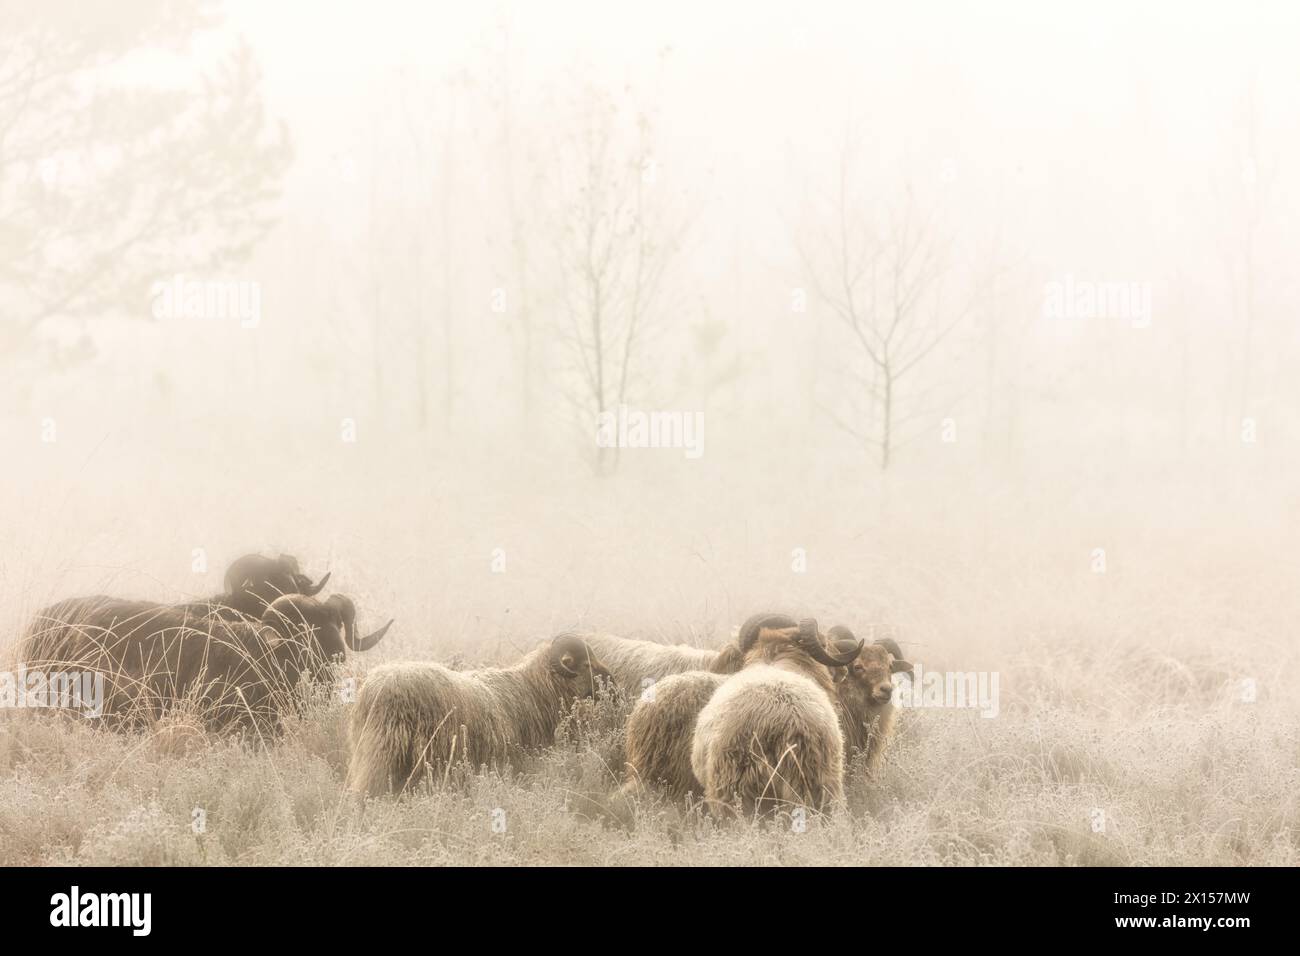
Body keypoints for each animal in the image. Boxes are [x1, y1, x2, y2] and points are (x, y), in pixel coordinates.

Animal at [690, 615, 861, 818]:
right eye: (825, 643)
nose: (844, 672)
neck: (775, 658)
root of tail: (792, 723)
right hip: (821, 784)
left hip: (738, 791)